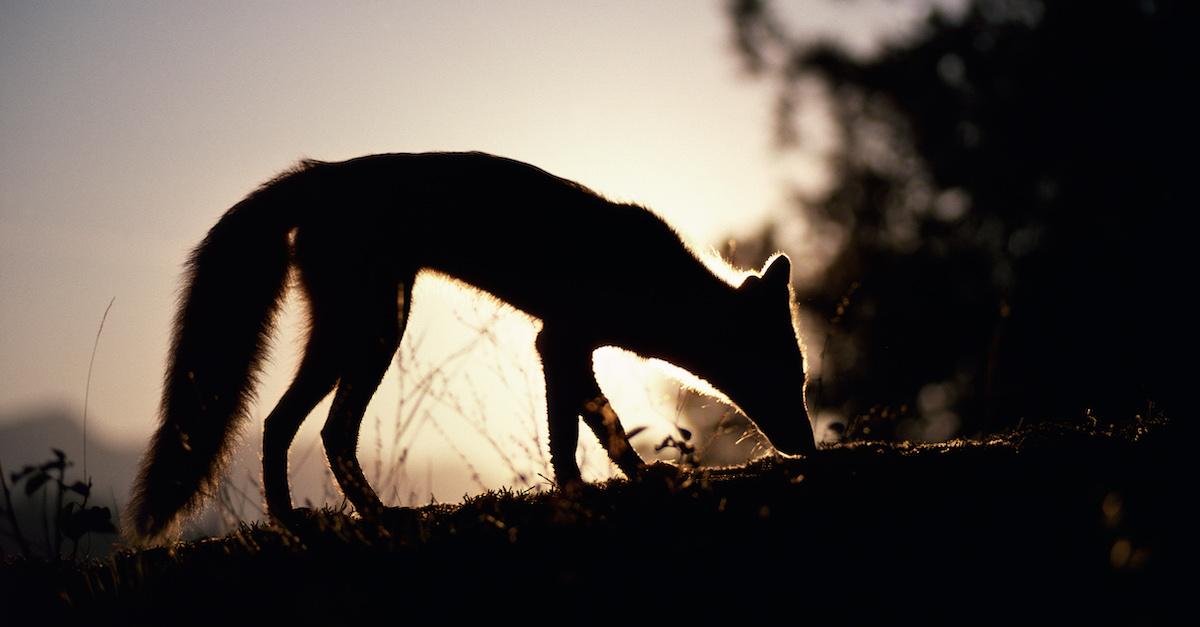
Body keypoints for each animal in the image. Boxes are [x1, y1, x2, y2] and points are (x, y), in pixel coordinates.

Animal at [127, 151, 814, 543]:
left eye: (802, 381)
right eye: (784, 378)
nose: (807, 448)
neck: (656, 284)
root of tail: (315, 173)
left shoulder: (564, 346)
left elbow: (590, 427)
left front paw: (611, 485)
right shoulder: (559, 340)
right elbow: (585, 433)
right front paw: (597, 491)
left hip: (374, 329)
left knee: (321, 431)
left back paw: (372, 517)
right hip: (369, 332)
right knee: (288, 425)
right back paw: (302, 524)